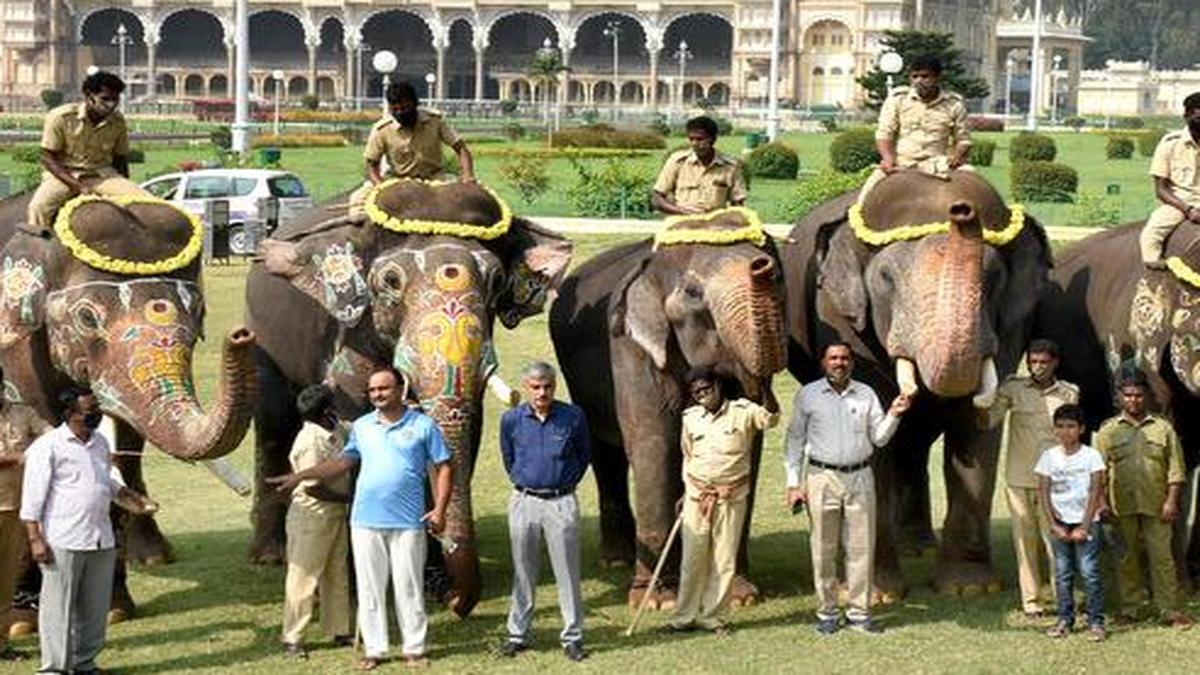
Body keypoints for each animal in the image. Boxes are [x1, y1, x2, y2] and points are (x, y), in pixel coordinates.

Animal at [0, 191, 258, 618]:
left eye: (200, 312)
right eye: (87, 318)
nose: (240, 334)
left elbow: (120, 453)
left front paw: (114, 608)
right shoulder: (17, 350)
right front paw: (24, 616)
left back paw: (153, 555)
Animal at [244, 178, 572, 617]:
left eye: (497, 281)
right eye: (391, 282)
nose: (457, 601)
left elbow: (461, 438)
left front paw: (433, 581)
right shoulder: (351, 335)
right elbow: (352, 432)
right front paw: (358, 584)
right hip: (259, 336)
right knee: (273, 426)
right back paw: (269, 554)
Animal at [549, 209, 787, 607]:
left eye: (781, 278)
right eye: (693, 293)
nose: (762, 264)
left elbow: (746, 451)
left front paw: (739, 596)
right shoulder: (631, 348)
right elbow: (654, 444)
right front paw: (658, 601)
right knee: (605, 454)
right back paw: (617, 560)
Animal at [779, 170, 1052, 596]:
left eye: (993, 278)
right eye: (886, 279)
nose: (961, 209)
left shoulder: (1013, 324)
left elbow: (974, 427)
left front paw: (969, 589)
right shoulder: (838, 315)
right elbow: (872, 439)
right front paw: (878, 593)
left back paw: (917, 546)